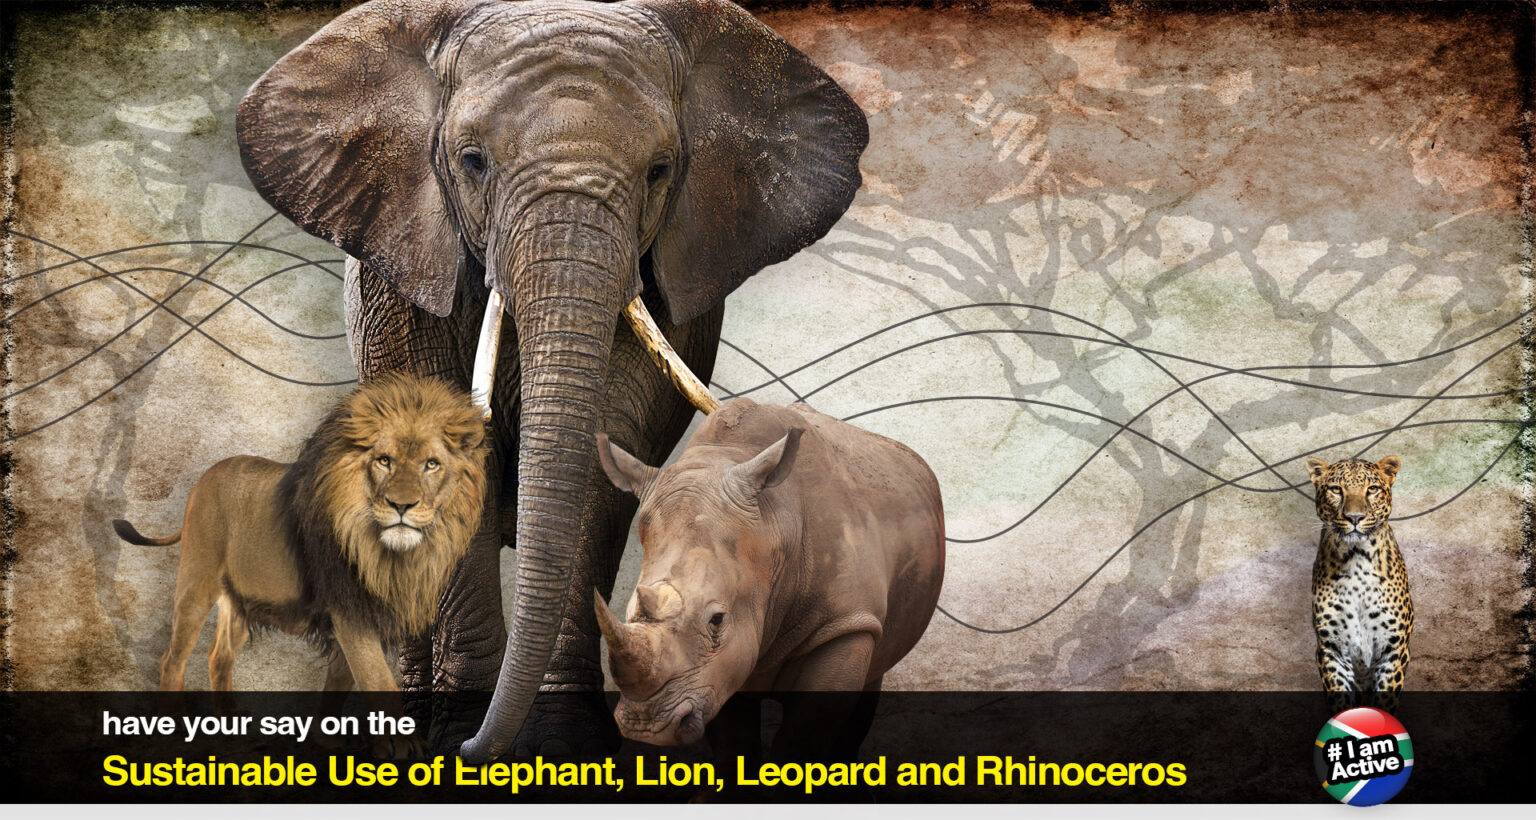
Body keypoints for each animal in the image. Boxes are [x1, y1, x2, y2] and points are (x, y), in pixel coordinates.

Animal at [113, 373, 487, 699]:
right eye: (384, 461)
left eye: (431, 464)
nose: (402, 505)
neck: (391, 556)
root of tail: (202, 479)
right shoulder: (351, 618)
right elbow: (380, 685)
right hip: (196, 584)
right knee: (172, 661)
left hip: (240, 601)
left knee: (219, 658)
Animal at [235, 0, 867, 761]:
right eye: (472, 161)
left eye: (660, 170)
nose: (476, 749)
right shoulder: (403, 272)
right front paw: (454, 735)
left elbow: (605, 454)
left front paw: (565, 742)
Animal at [1304, 455, 1413, 714]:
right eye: (1336, 489)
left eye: (1372, 489)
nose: (1354, 518)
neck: (1357, 559)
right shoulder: (1331, 649)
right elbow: (1340, 702)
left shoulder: (1393, 650)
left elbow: (1385, 702)